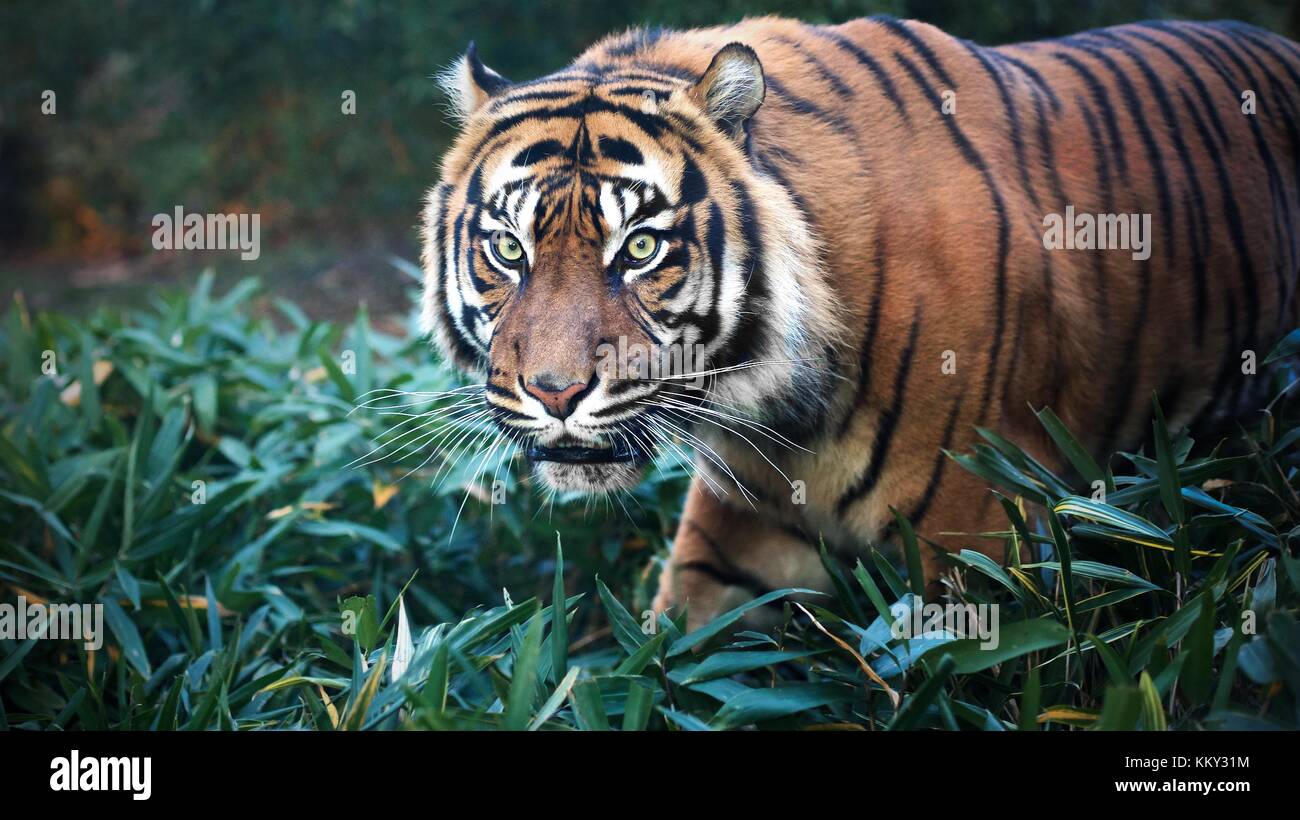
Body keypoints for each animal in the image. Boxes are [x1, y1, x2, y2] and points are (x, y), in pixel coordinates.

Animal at [420, 16, 1300, 630]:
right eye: (508, 248)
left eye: (639, 247)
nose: (556, 393)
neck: (777, 412)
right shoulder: (741, 538)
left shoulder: (982, 536)